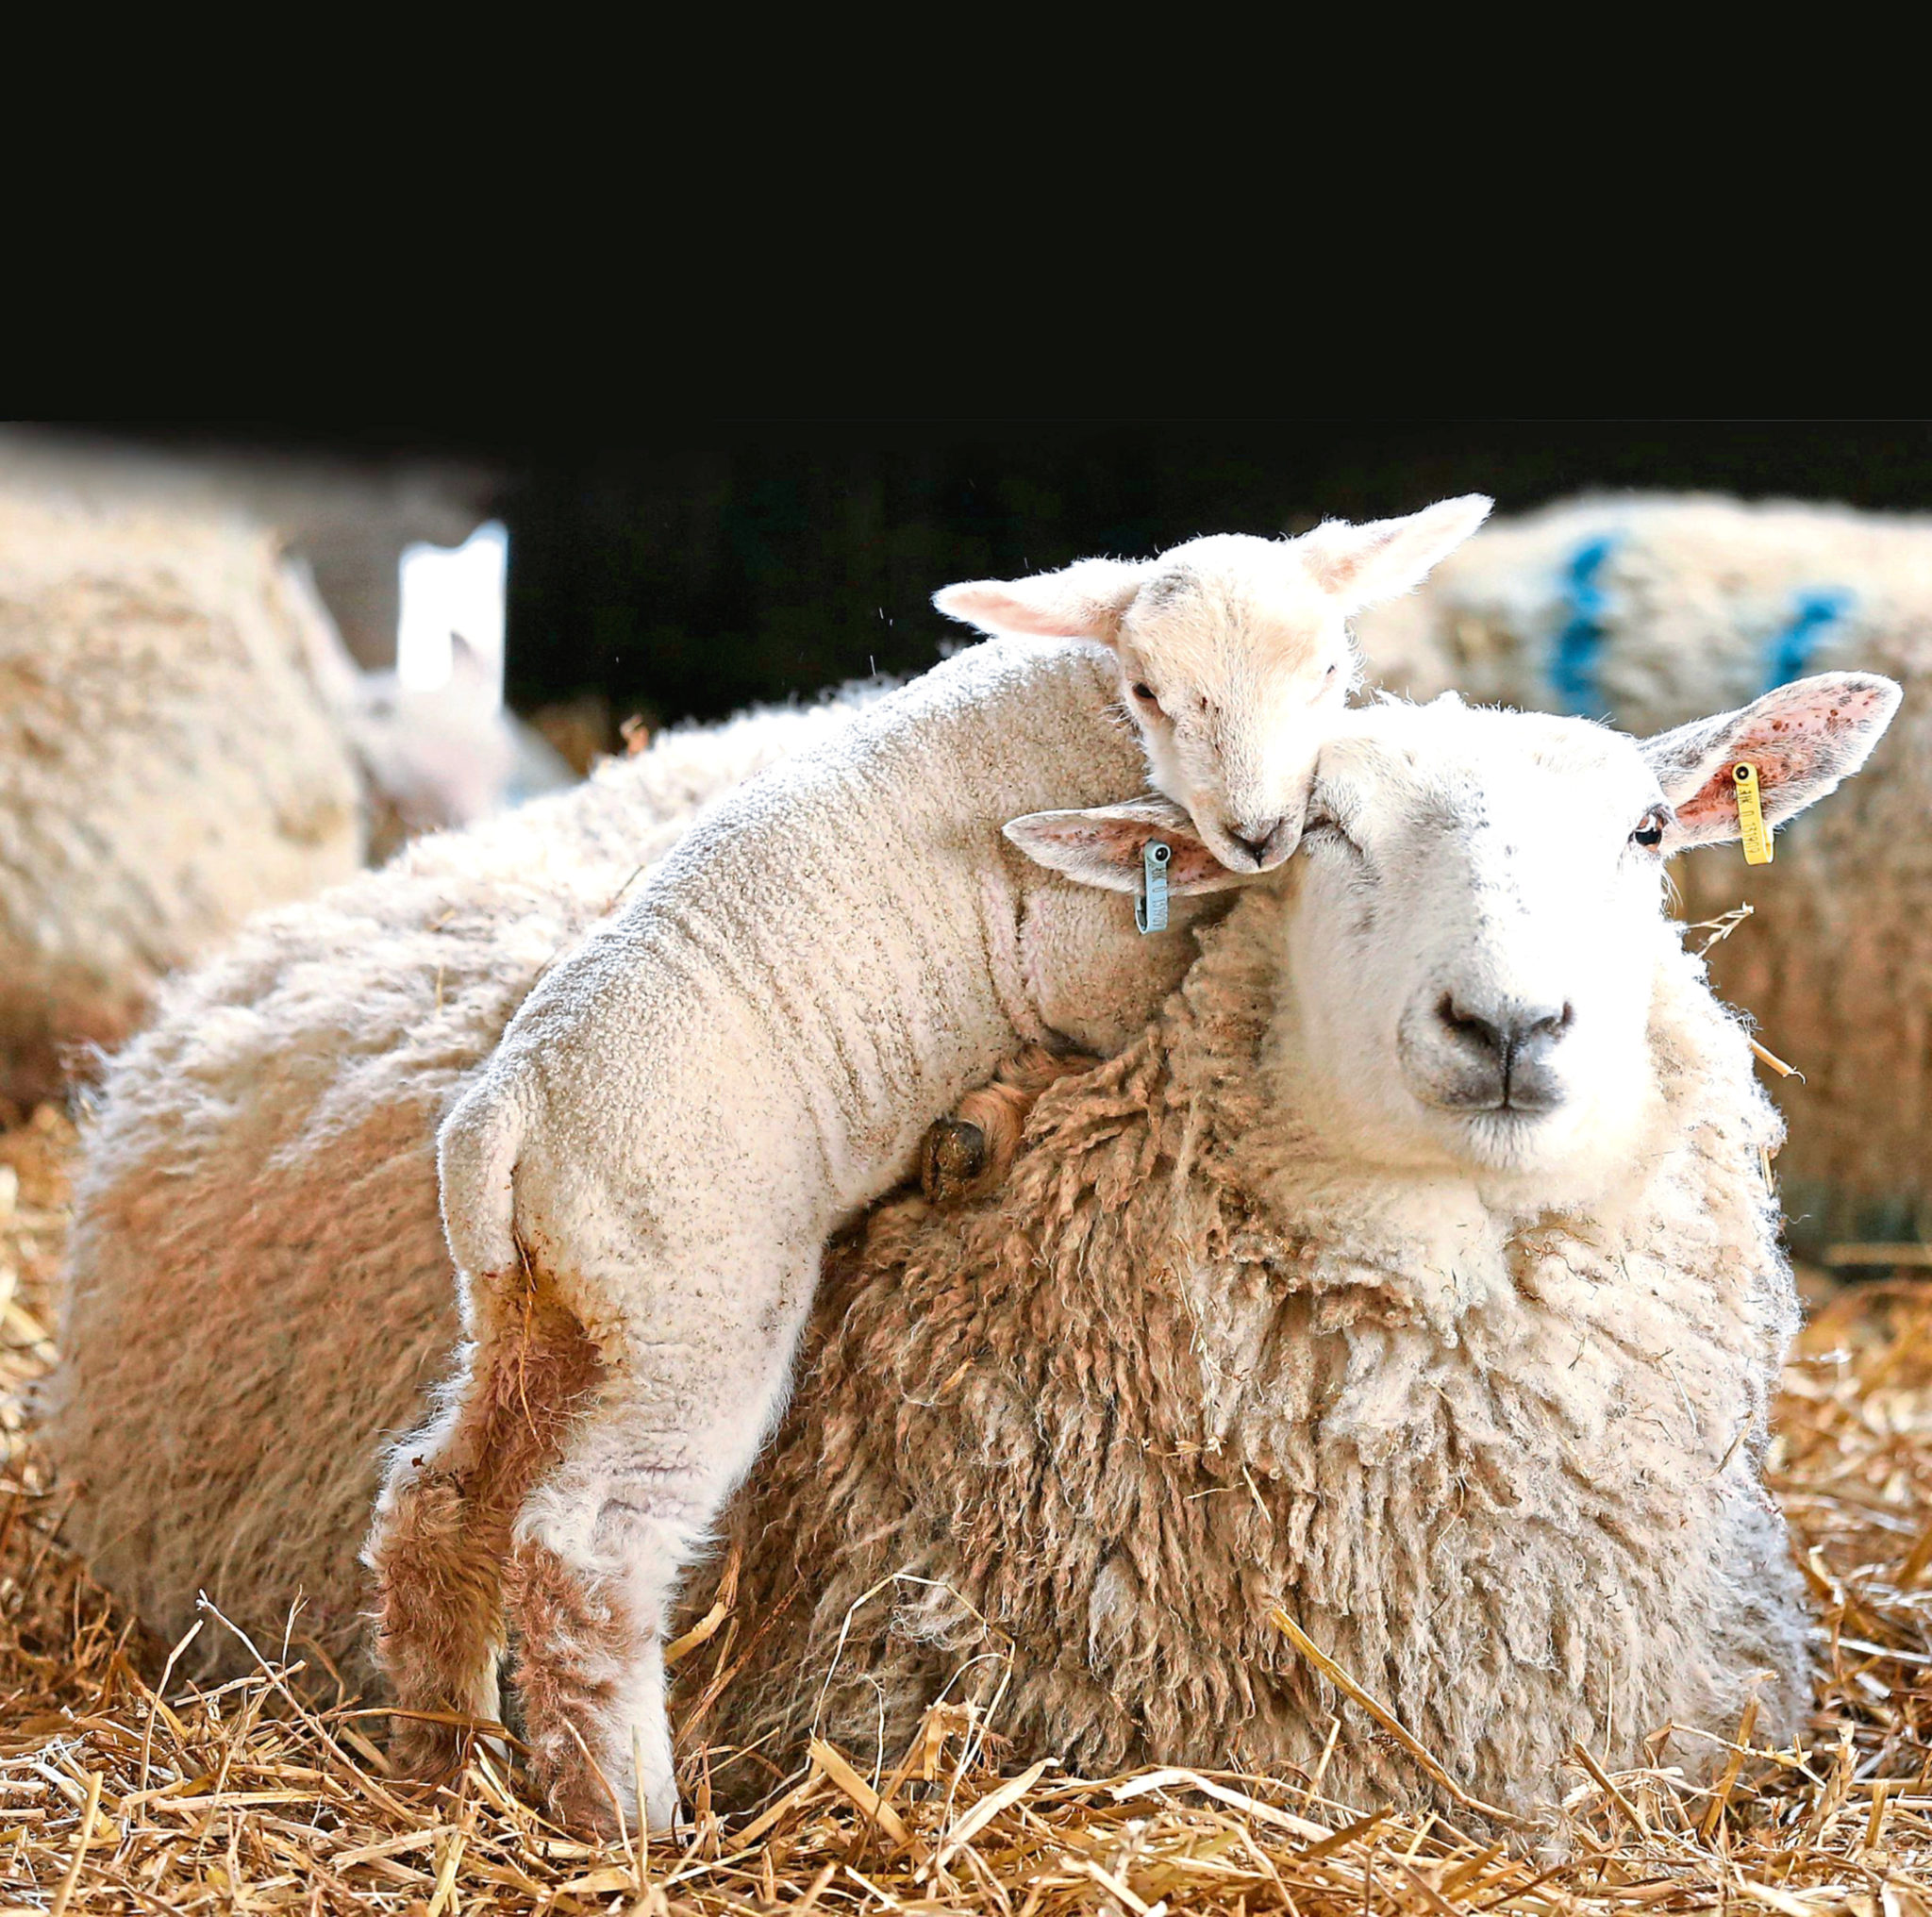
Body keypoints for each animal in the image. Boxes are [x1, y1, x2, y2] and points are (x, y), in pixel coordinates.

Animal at [367, 499, 1492, 1830]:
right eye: (1151, 690)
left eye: (1326, 665)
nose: (1258, 831)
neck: (1090, 720)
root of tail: (506, 1115)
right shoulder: (1093, 975)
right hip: (695, 1296)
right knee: (586, 1548)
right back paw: (632, 1819)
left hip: (553, 1302)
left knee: (440, 1493)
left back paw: (442, 1760)